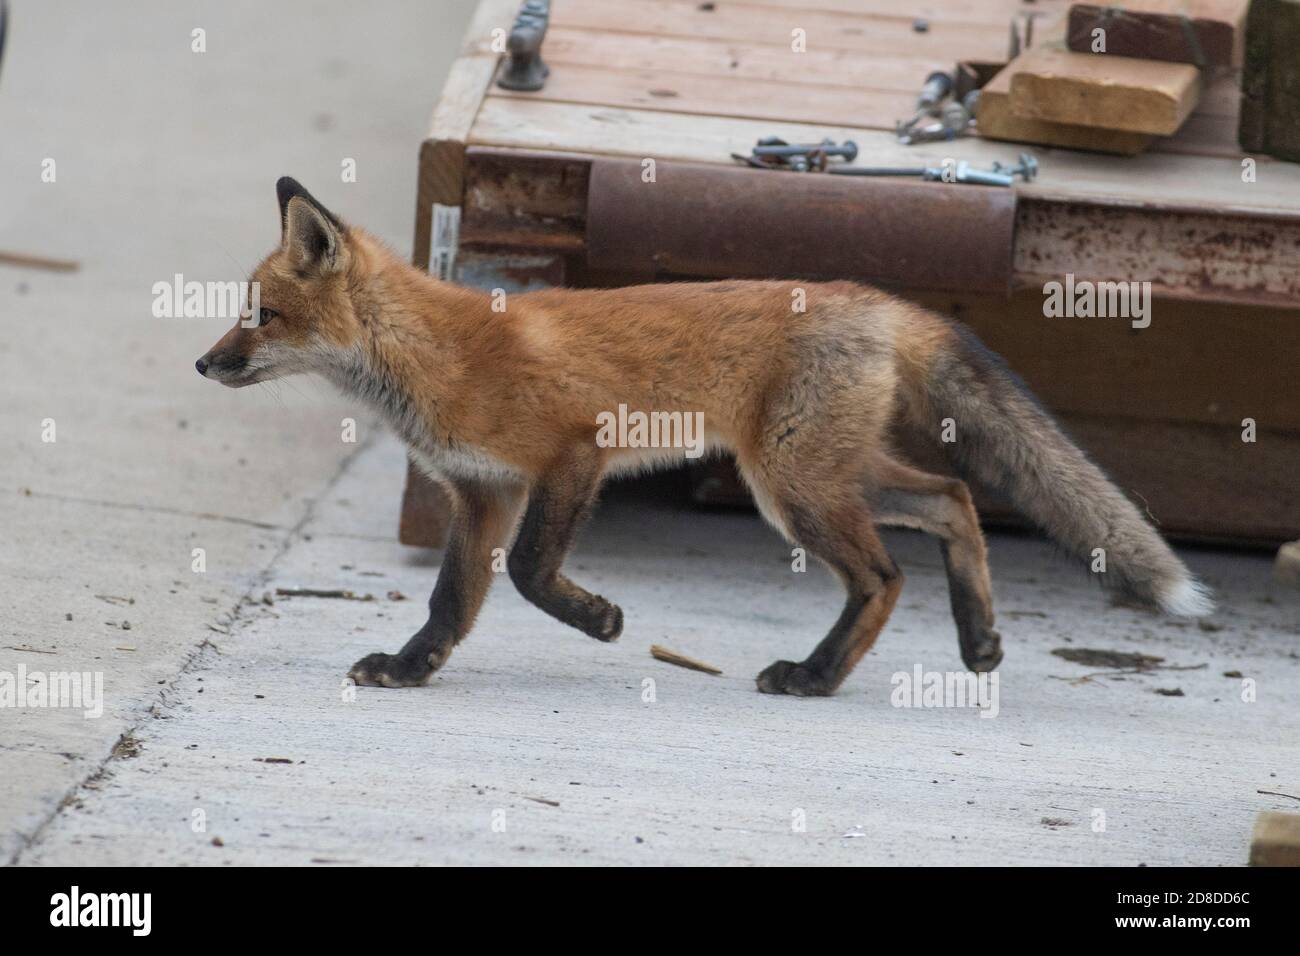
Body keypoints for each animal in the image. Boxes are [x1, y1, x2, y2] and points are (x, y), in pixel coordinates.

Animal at [197, 177, 1213, 696]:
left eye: (260, 315)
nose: (204, 366)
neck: (436, 355)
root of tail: (879, 300)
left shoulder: (573, 453)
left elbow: (527, 574)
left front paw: (599, 621)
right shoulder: (483, 490)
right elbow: (453, 602)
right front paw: (411, 670)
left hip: (793, 488)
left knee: (886, 574)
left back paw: (817, 676)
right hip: (822, 476)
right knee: (954, 499)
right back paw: (978, 642)